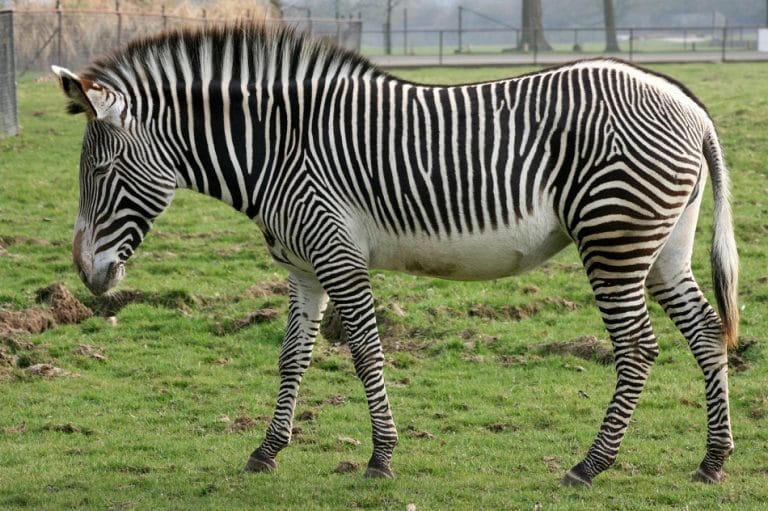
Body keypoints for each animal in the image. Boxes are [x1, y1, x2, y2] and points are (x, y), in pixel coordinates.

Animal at [52, 22, 738, 486]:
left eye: (103, 171)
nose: (86, 275)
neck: (276, 152)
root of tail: (690, 105)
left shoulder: (337, 255)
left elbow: (364, 352)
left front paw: (381, 457)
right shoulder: (303, 268)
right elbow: (292, 358)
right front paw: (267, 452)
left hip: (614, 238)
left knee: (639, 348)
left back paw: (591, 465)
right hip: (663, 246)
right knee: (707, 332)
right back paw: (712, 459)